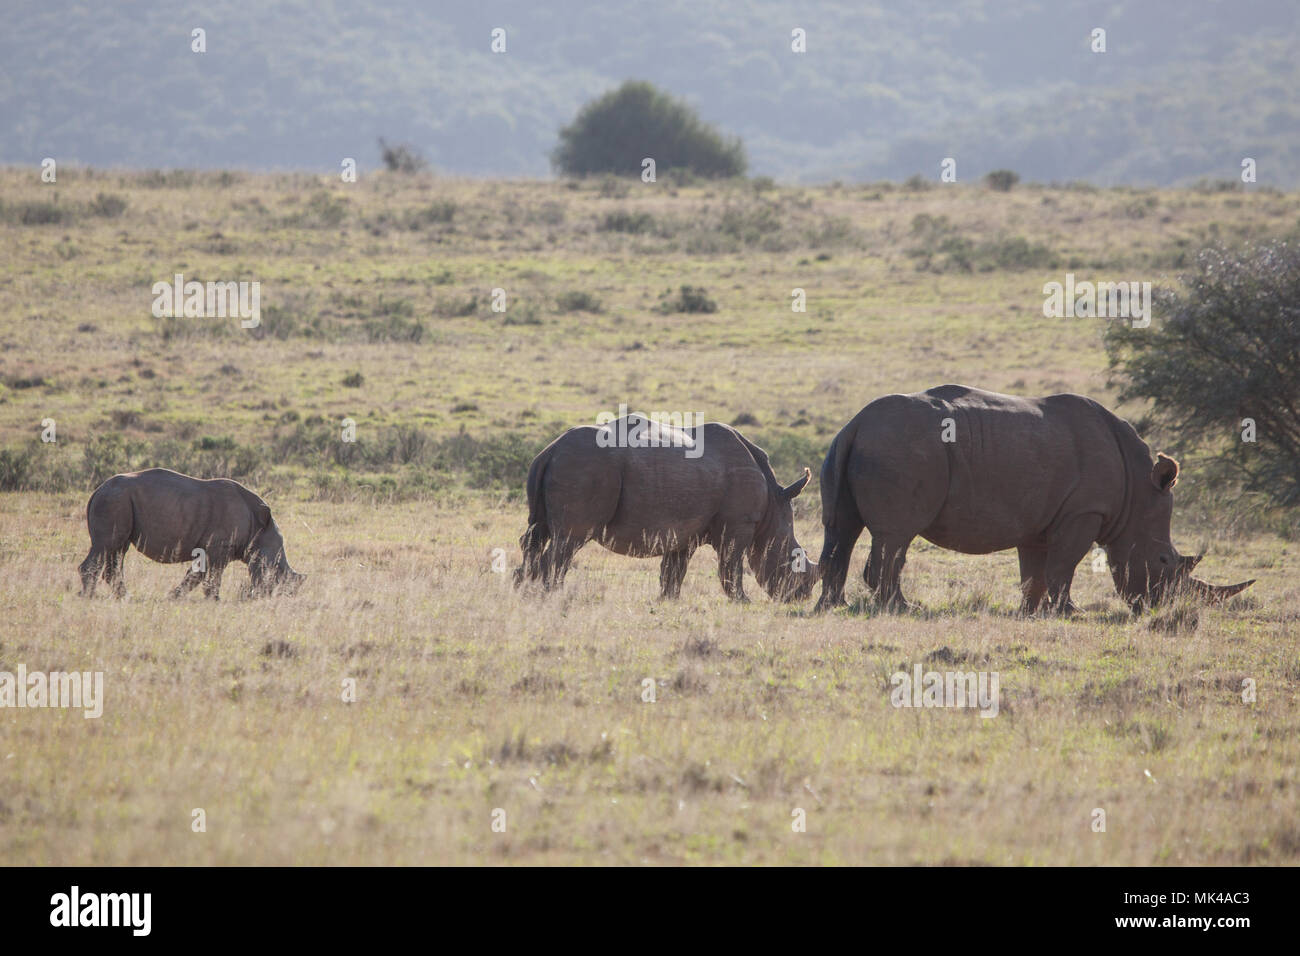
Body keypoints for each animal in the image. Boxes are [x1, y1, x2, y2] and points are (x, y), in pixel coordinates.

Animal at [78, 468, 305, 599]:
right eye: (275, 568)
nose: (269, 597)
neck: (258, 526)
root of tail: (97, 490)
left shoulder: (211, 548)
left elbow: (195, 574)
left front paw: (173, 597)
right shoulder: (219, 547)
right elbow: (212, 576)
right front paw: (214, 600)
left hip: (117, 500)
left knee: (117, 549)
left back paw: (124, 597)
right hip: (113, 500)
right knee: (106, 546)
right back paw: (89, 596)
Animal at [513, 415, 817, 601]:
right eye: (795, 557)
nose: (800, 596)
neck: (772, 510)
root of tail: (550, 450)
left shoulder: (687, 528)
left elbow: (674, 570)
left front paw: (667, 601)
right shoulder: (739, 524)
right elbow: (731, 565)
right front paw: (743, 601)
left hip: (561, 465)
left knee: (537, 535)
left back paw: (524, 591)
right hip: (585, 467)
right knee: (569, 540)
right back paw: (552, 594)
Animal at [814, 385, 1254, 614]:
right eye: (1164, 561)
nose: (1162, 608)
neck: (1137, 491)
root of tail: (856, 422)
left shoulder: (1038, 518)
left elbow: (1035, 571)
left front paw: (1030, 612)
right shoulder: (1084, 511)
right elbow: (1064, 565)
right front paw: (1070, 612)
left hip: (852, 445)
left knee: (841, 529)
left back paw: (832, 606)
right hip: (900, 448)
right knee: (896, 535)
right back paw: (905, 609)